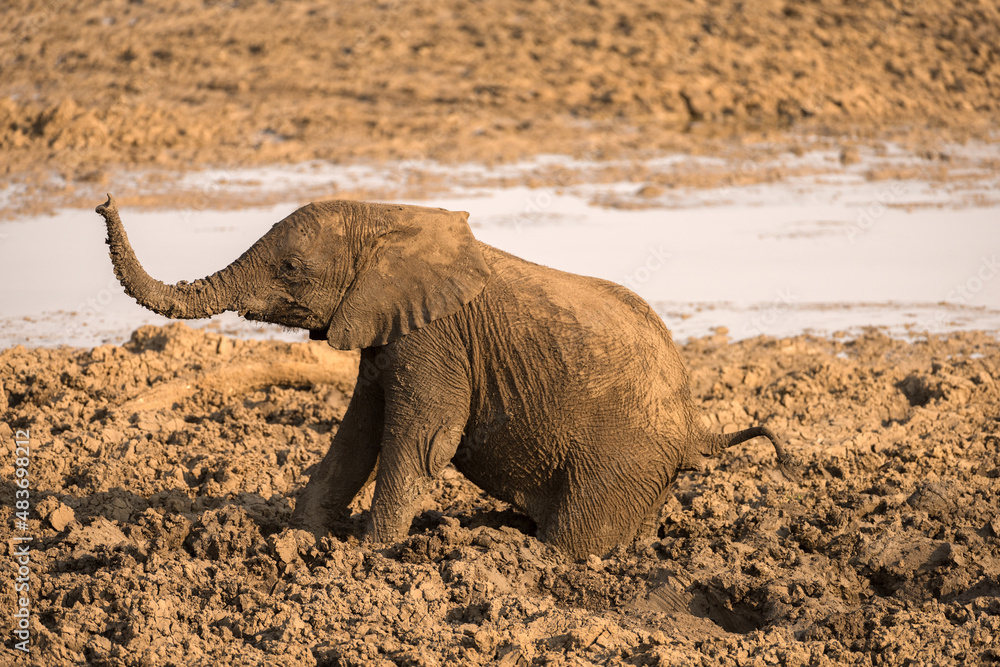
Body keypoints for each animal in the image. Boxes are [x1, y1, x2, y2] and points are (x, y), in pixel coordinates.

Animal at [95, 194, 793, 559]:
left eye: (289, 269)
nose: (104, 200)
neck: (383, 219)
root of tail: (697, 428)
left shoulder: (433, 342)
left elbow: (420, 442)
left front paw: (368, 556)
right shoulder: (385, 334)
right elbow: (355, 437)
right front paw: (303, 540)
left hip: (623, 457)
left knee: (573, 538)